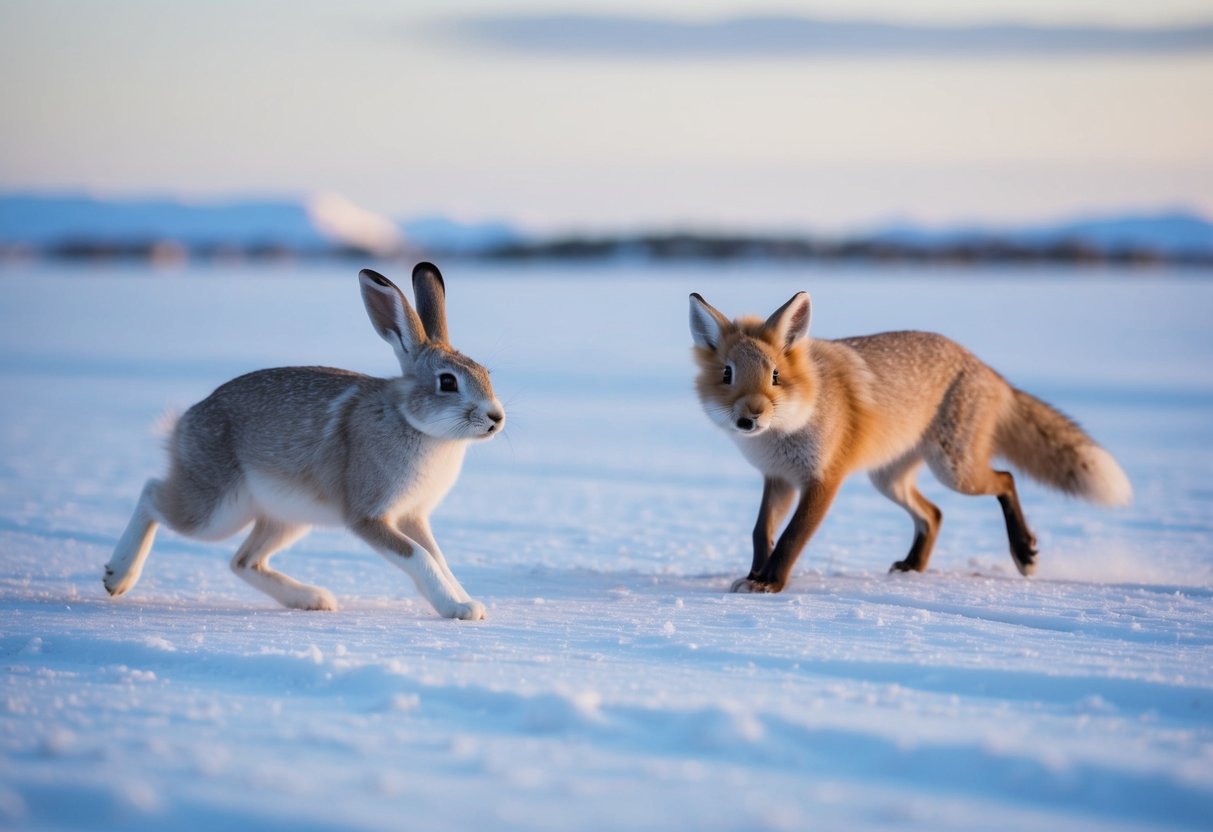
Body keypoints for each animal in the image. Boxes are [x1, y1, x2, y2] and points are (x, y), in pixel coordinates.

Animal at [688, 290, 1131, 593]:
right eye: (728, 374)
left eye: (775, 376)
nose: (749, 418)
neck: (788, 429)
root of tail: (986, 367)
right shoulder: (778, 478)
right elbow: (761, 533)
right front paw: (754, 575)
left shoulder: (823, 479)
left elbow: (791, 538)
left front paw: (770, 583)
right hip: (889, 480)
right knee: (934, 514)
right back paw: (914, 566)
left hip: (955, 471)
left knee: (1005, 479)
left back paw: (1023, 552)